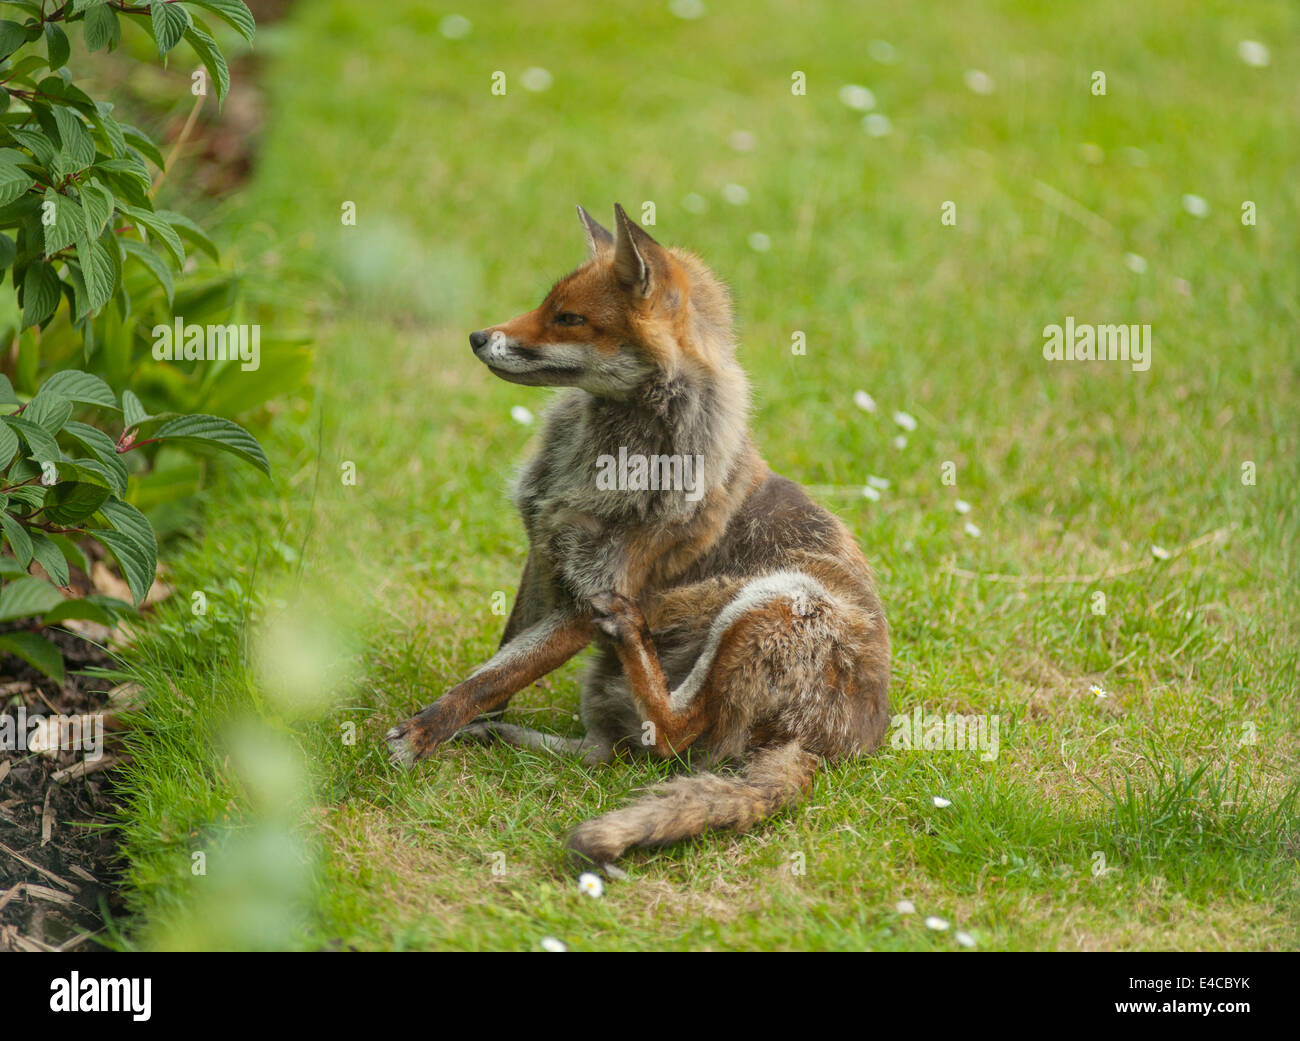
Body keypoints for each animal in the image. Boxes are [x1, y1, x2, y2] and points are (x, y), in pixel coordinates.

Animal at [385, 203, 891, 871]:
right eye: (544, 303)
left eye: (570, 318)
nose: (475, 337)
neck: (596, 463)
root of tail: (830, 748)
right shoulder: (543, 552)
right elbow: (503, 661)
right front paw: (466, 725)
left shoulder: (587, 594)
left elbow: (488, 677)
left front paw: (423, 734)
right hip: (611, 685)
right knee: (612, 752)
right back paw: (506, 734)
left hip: (775, 601)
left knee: (675, 733)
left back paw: (629, 630)